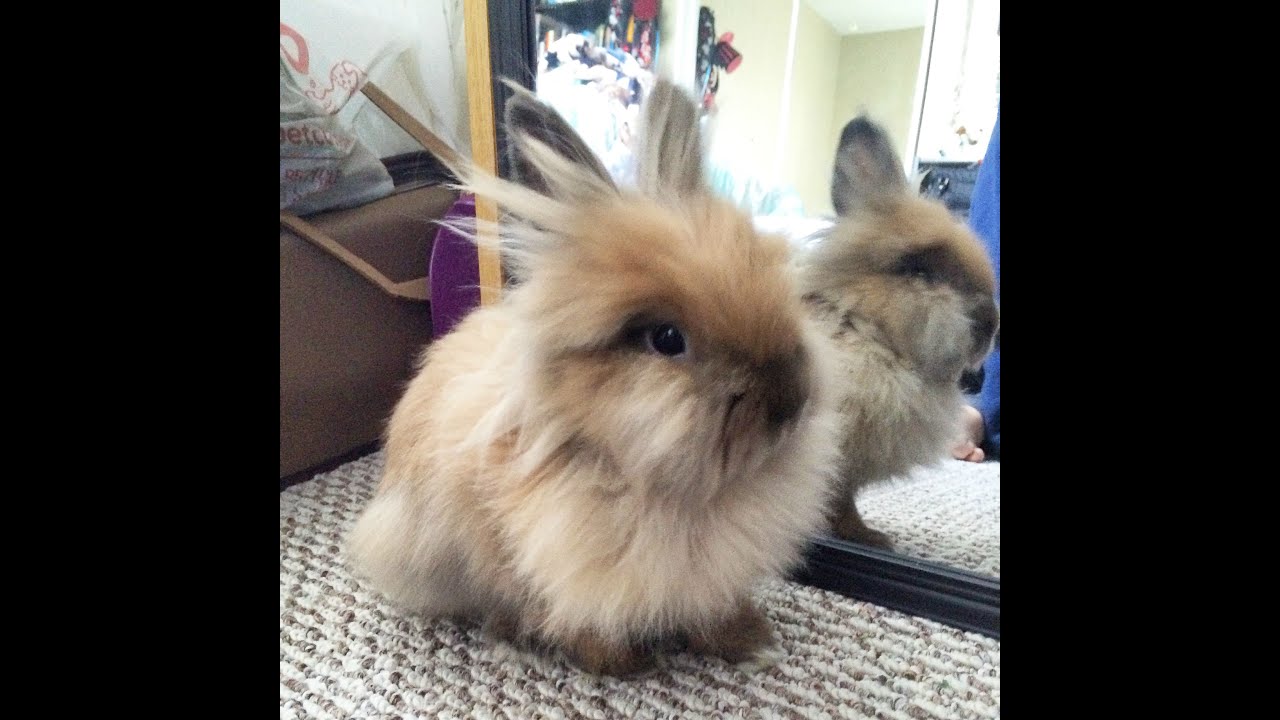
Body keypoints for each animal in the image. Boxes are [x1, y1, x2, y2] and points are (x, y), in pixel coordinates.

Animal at [346, 79, 842, 676]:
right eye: (666, 339)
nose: (789, 404)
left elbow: (714, 607)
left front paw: (753, 644)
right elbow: (550, 605)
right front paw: (620, 661)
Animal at [798, 116, 999, 550]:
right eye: (919, 273)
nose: (991, 324)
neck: (860, 330)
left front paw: (869, 536)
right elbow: (836, 502)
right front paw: (870, 540)